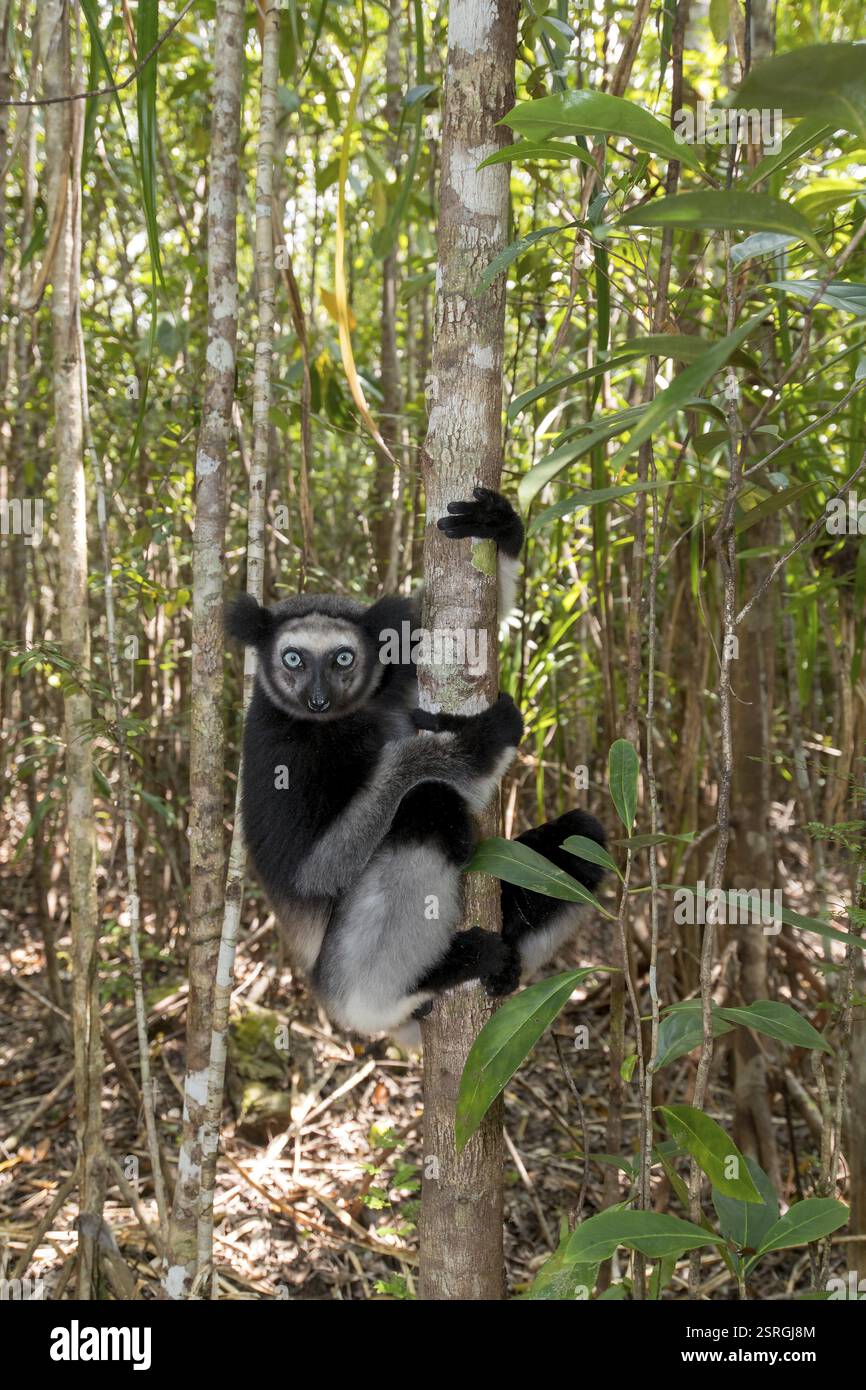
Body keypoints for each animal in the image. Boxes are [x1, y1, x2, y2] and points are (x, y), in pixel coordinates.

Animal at [226, 487, 606, 1038]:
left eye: (343, 658)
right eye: (293, 659)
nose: (317, 699)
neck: (339, 721)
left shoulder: (389, 682)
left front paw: (496, 526)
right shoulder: (277, 749)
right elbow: (314, 869)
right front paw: (473, 743)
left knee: (581, 839)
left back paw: (505, 964)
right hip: (339, 974)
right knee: (426, 810)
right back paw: (416, 984)